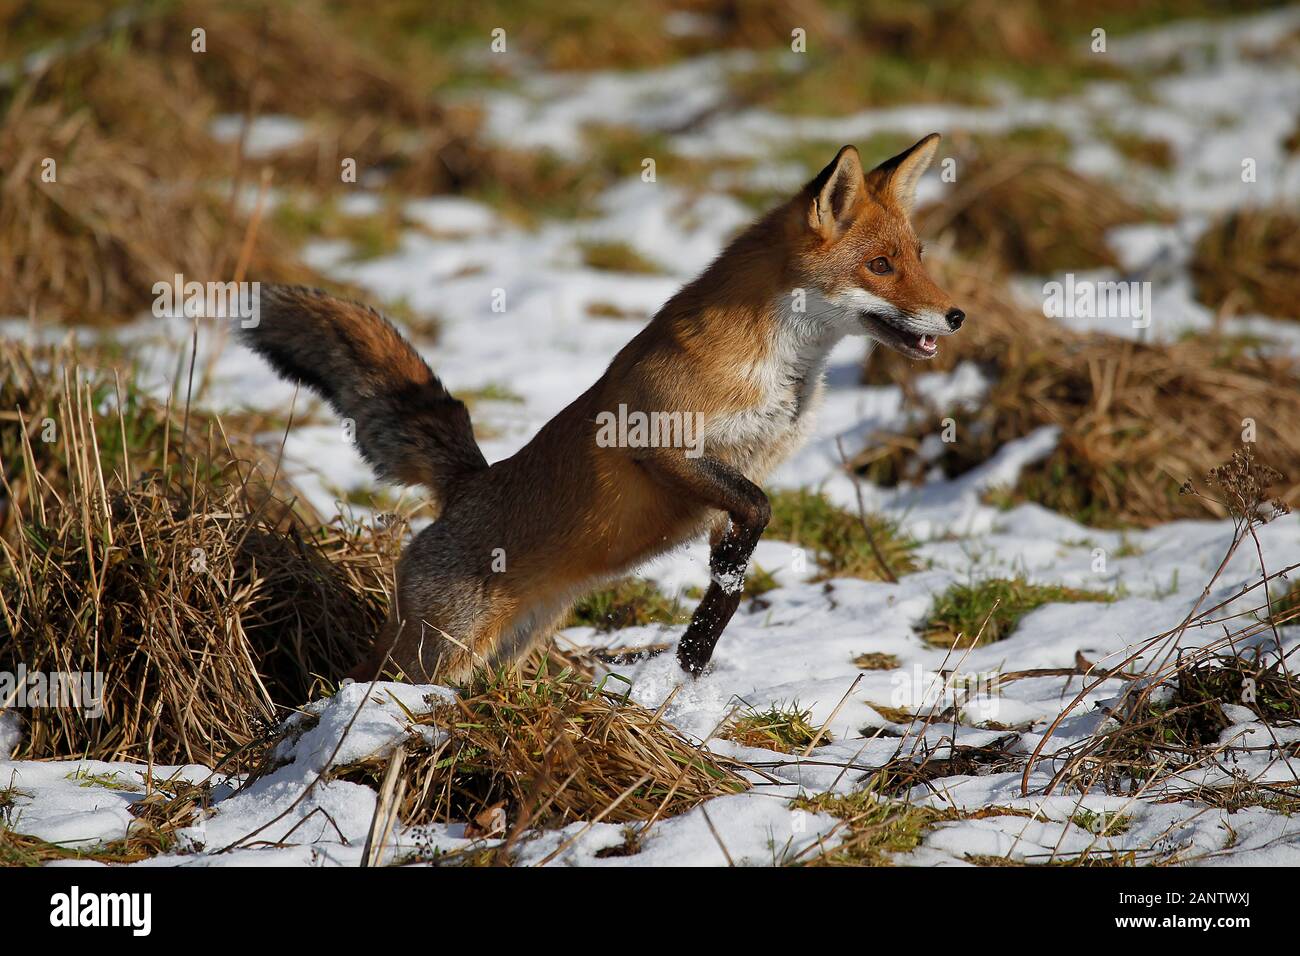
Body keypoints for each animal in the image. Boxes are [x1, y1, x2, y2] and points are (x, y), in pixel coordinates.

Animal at [240, 134, 964, 684]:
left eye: (919, 258)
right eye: (880, 266)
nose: (956, 314)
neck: (783, 373)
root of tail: (467, 484)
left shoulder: (740, 473)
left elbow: (742, 544)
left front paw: (700, 641)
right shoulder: (660, 442)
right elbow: (758, 510)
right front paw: (701, 632)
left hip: (514, 641)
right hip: (438, 651)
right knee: (365, 679)